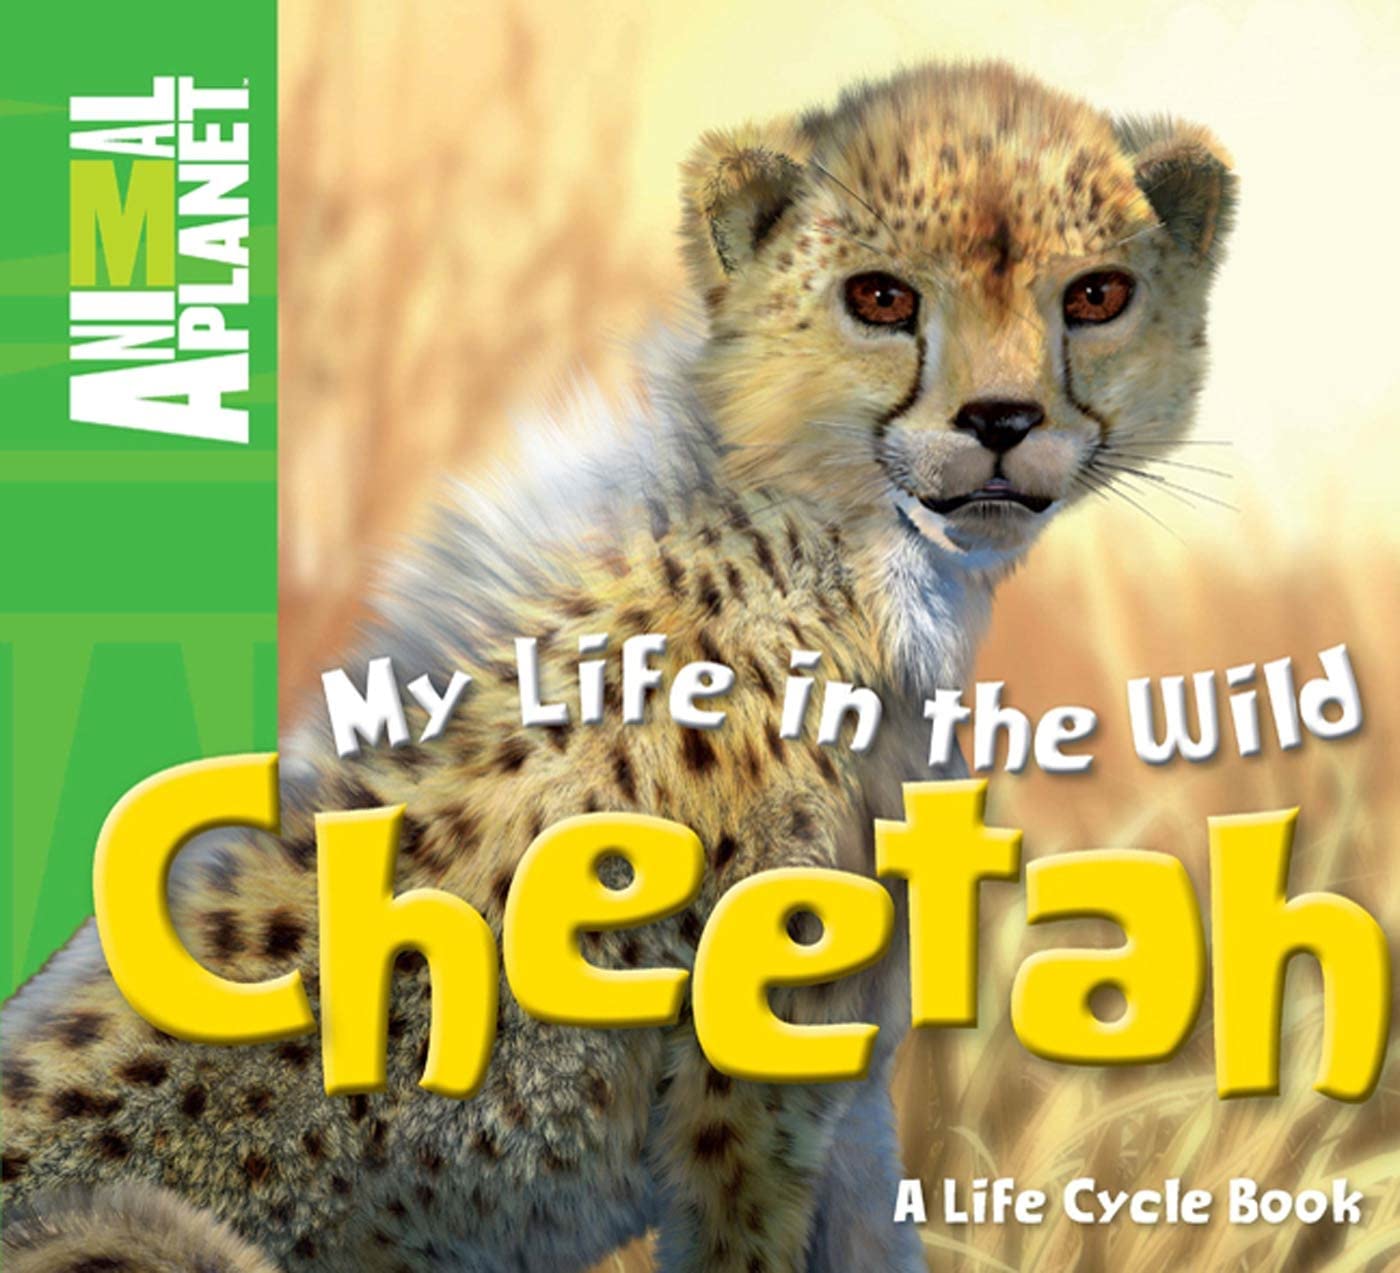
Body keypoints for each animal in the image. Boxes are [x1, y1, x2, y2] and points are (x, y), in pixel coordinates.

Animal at [1, 60, 1235, 1273]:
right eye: (882, 298)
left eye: (1095, 296)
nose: (1000, 420)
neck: (841, 551)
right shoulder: (741, 1113)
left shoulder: (844, 1100)